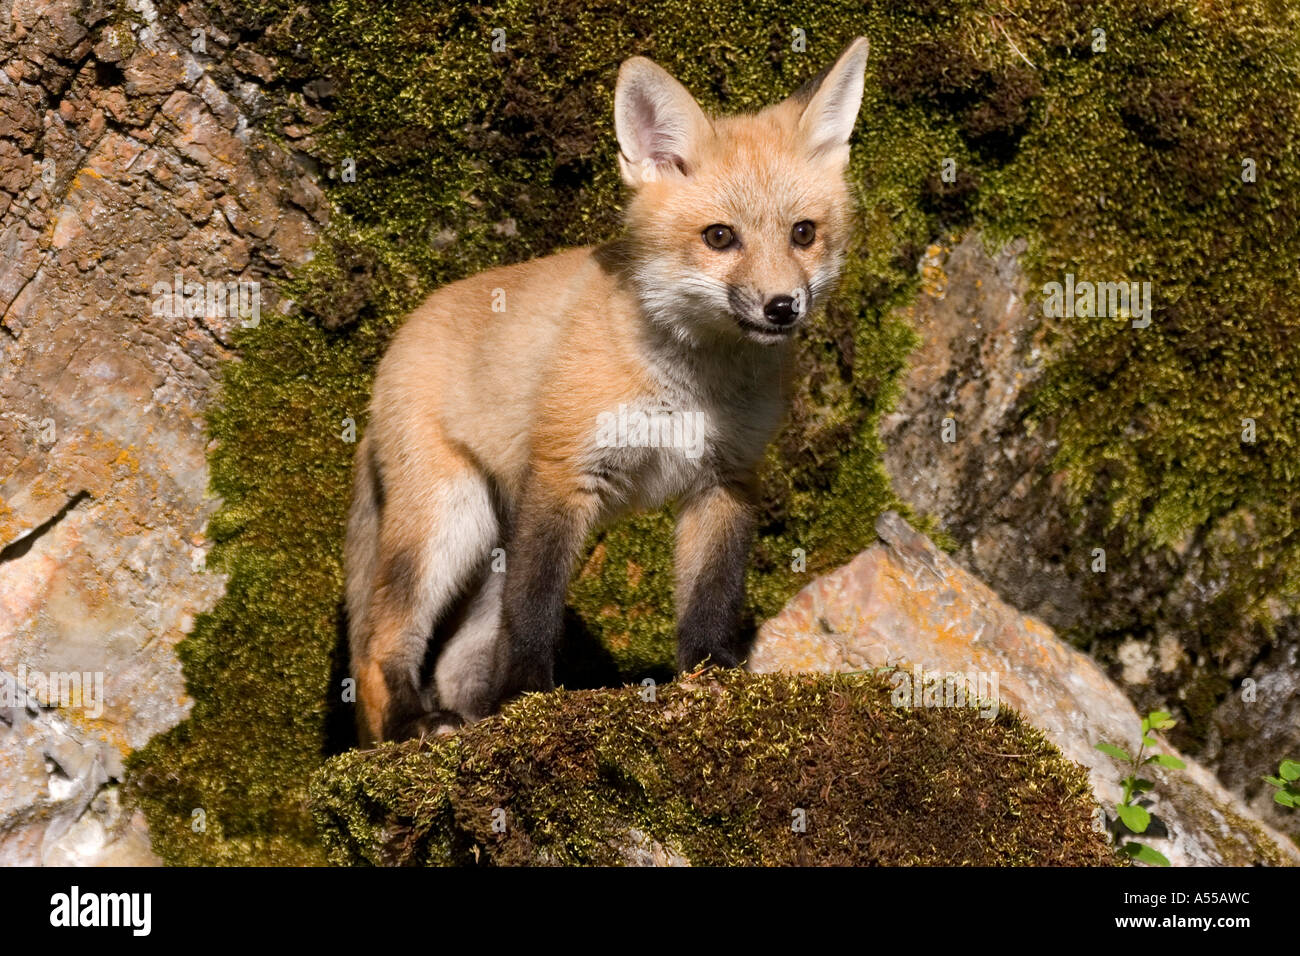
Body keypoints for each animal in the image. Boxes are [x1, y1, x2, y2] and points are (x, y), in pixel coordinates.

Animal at [345, 37, 870, 744]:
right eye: (720, 237)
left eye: (803, 233)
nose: (782, 307)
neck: (690, 387)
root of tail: (400, 338)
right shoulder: (565, 471)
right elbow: (535, 612)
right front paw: (529, 699)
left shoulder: (727, 478)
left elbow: (711, 600)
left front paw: (712, 680)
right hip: (447, 522)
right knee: (380, 643)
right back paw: (412, 723)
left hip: (491, 539)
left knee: (454, 659)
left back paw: (472, 716)